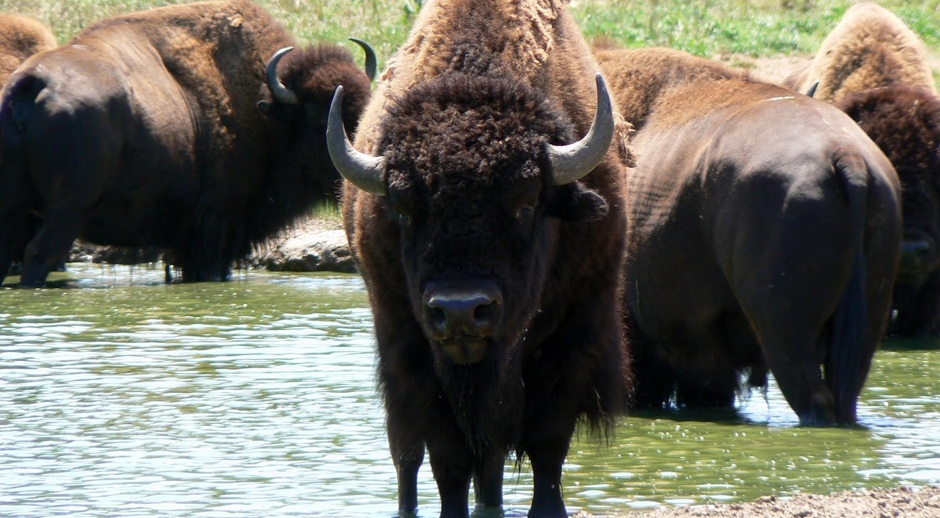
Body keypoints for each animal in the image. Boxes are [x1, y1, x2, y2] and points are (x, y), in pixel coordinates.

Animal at [0, 0, 373, 286]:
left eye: (367, 106)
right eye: (316, 116)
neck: (265, 110)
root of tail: (29, 84)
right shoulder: (215, 227)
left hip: (17, 209)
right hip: (67, 210)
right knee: (40, 253)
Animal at [328, 0, 633, 515]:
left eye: (527, 201)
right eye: (403, 206)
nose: (460, 311)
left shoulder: (574, 332)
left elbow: (548, 442)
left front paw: (549, 509)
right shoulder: (413, 349)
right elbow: (446, 456)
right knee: (407, 453)